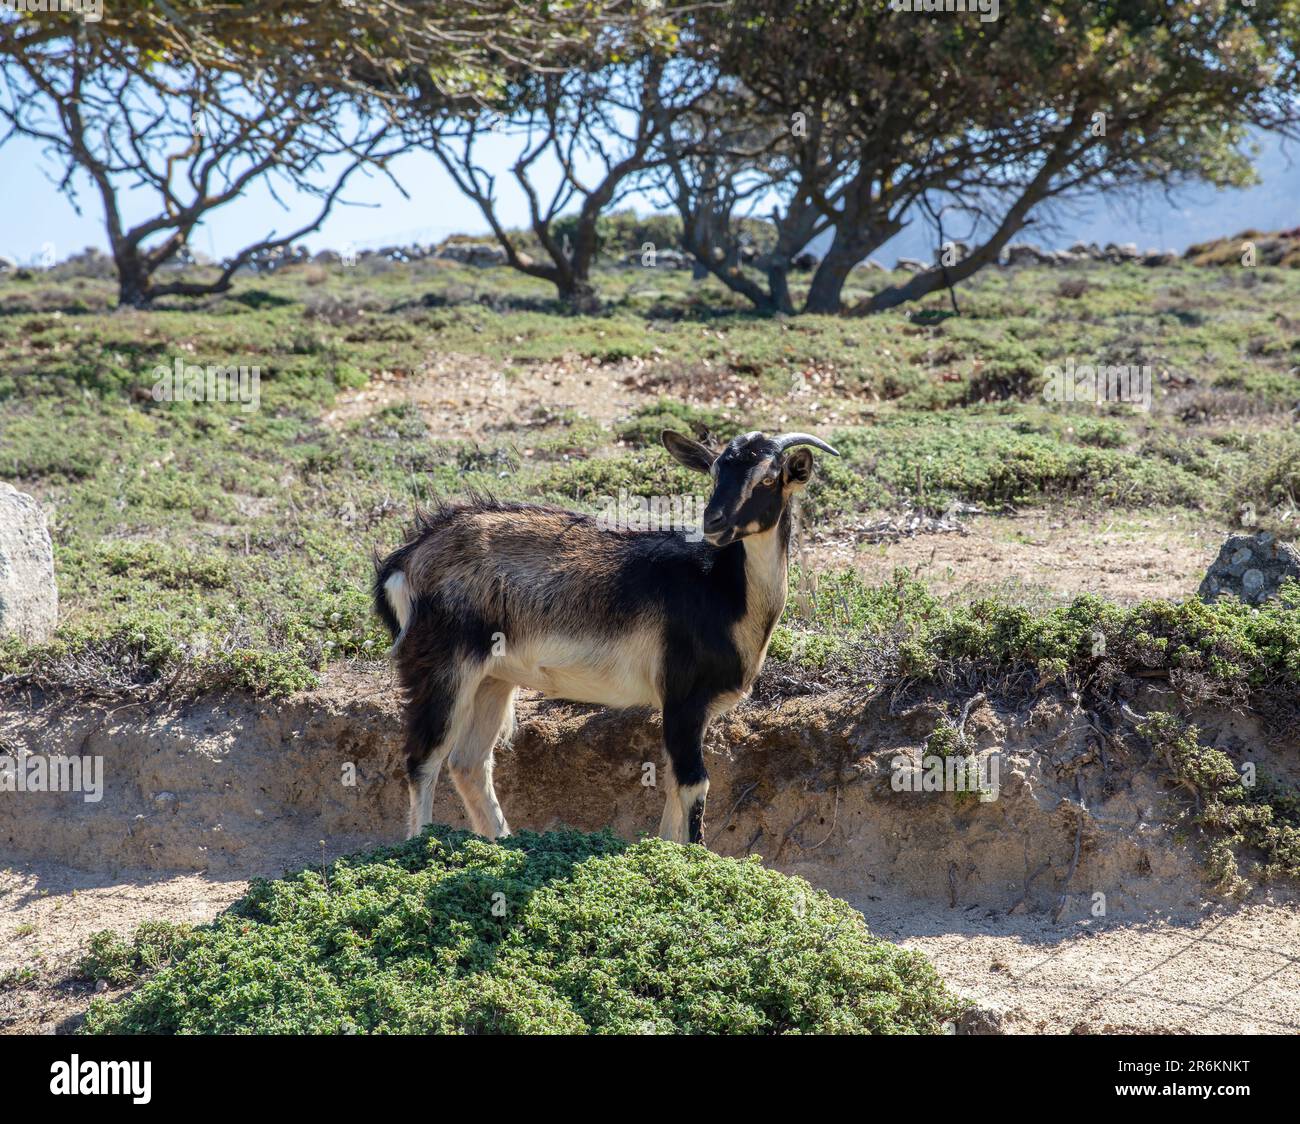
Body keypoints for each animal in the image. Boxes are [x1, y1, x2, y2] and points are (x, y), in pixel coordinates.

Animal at [373, 428, 839, 846]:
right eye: (714, 473)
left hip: (493, 678)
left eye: (768, 478)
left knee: (468, 764)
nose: (714, 522)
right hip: (443, 665)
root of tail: (405, 561)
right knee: (423, 758)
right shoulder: (683, 698)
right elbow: (693, 784)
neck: (724, 590)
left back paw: (501, 843)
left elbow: (673, 786)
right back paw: (420, 849)